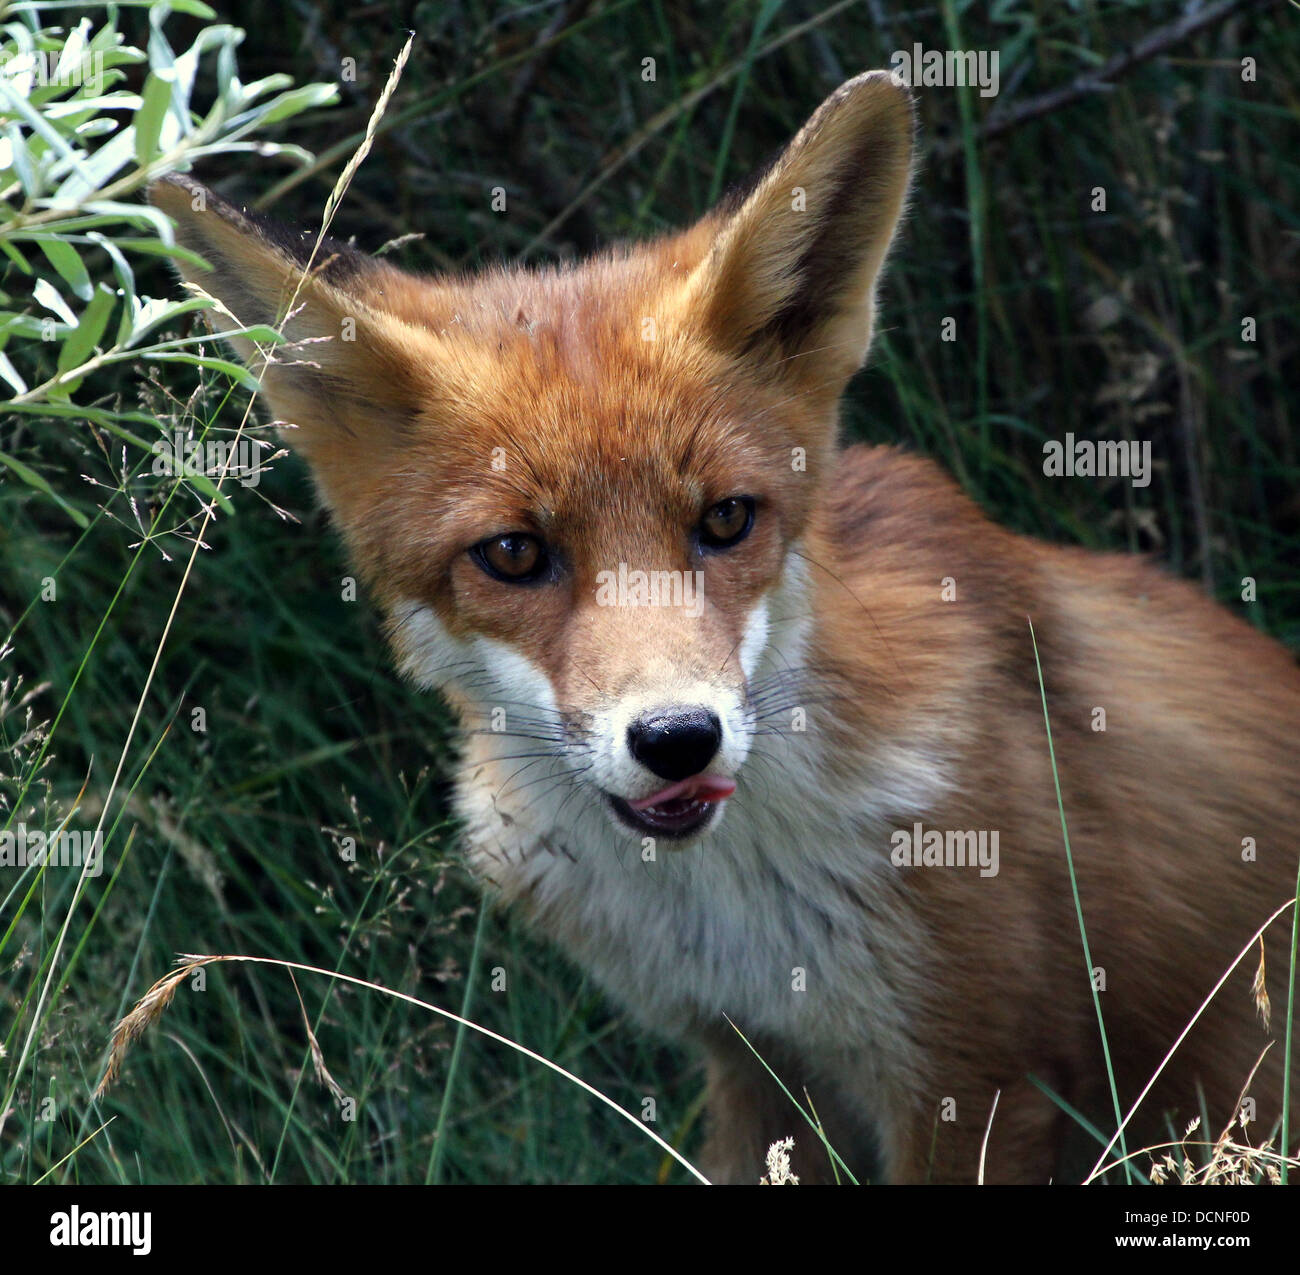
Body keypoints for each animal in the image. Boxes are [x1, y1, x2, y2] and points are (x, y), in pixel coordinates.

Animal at [150, 70, 1300, 1185]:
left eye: (727, 519)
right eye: (514, 553)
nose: (677, 740)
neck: (731, 902)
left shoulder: (973, 1077)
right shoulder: (753, 1060)